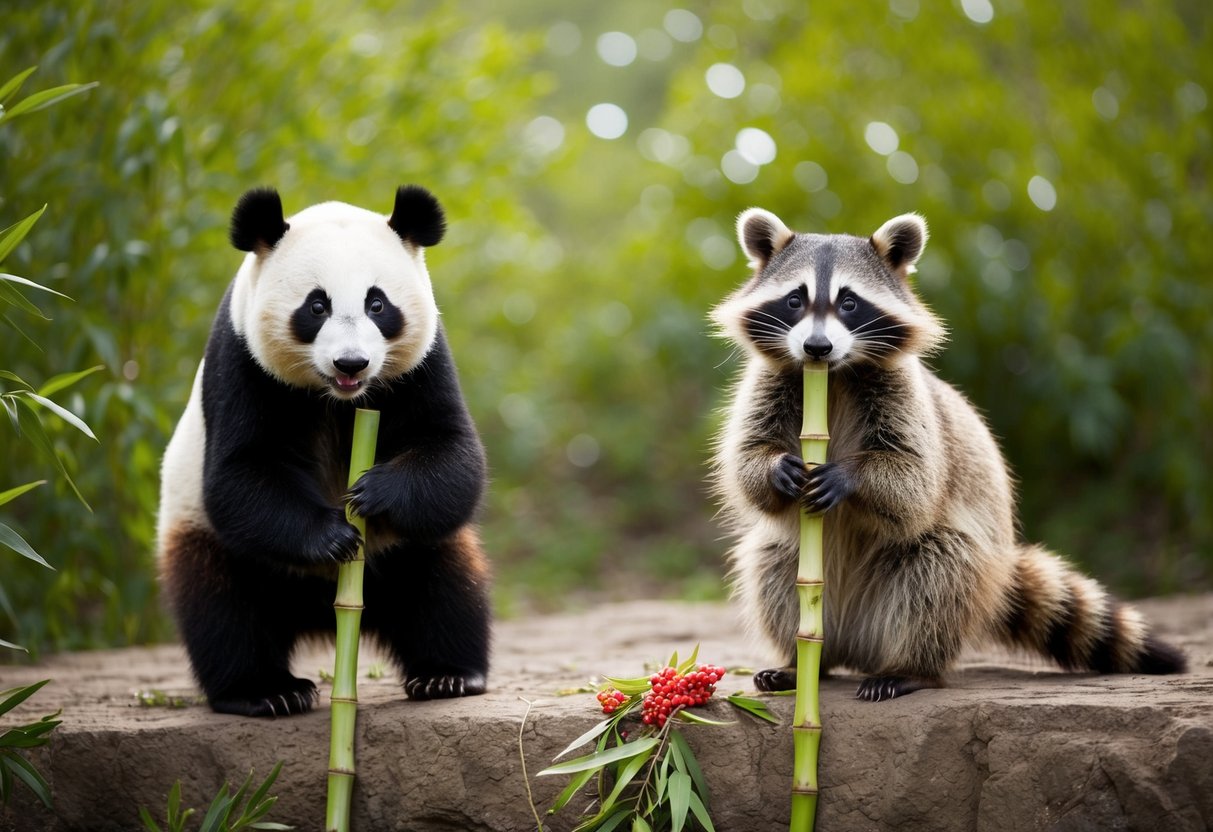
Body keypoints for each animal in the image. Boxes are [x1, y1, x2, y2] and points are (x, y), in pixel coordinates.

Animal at [156, 185, 491, 717]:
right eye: (316, 307)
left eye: (377, 304)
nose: (351, 362)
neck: (340, 399)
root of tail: (326, 616)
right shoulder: (241, 361)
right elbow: (239, 473)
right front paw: (332, 535)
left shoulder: (424, 364)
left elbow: (453, 454)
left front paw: (374, 494)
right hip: (204, 534)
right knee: (223, 607)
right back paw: (266, 691)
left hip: (406, 550)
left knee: (446, 586)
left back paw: (447, 675)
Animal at [711, 207, 1186, 701]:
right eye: (794, 300)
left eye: (849, 303)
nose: (817, 347)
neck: (833, 376)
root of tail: (856, 646)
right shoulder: (770, 382)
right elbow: (745, 457)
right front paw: (772, 468)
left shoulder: (907, 398)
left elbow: (915, 482)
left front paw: (850, 476)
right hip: (811, 589)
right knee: (772, 561)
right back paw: (802, 662)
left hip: (955, 574)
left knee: (938, 572)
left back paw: (912, 667)